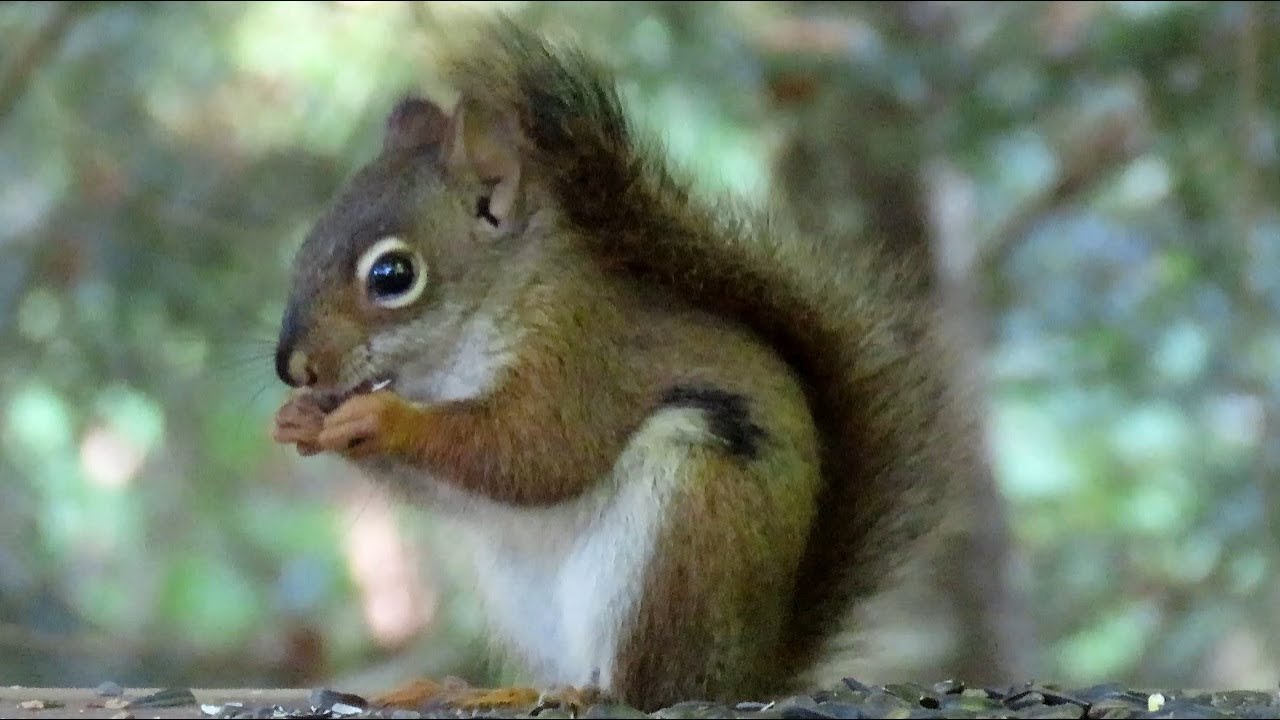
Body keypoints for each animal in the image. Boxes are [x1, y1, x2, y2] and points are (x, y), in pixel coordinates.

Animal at [270, 16, 976, 715]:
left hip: (683, 521)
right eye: (304, 247)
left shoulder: (580, 355)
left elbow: (534, 453)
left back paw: (554, 692)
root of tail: (746, 676)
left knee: (637, 688)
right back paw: (466, 688)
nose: (292, 368)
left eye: (393, 275)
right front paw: (300, 419)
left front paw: (381, 418)